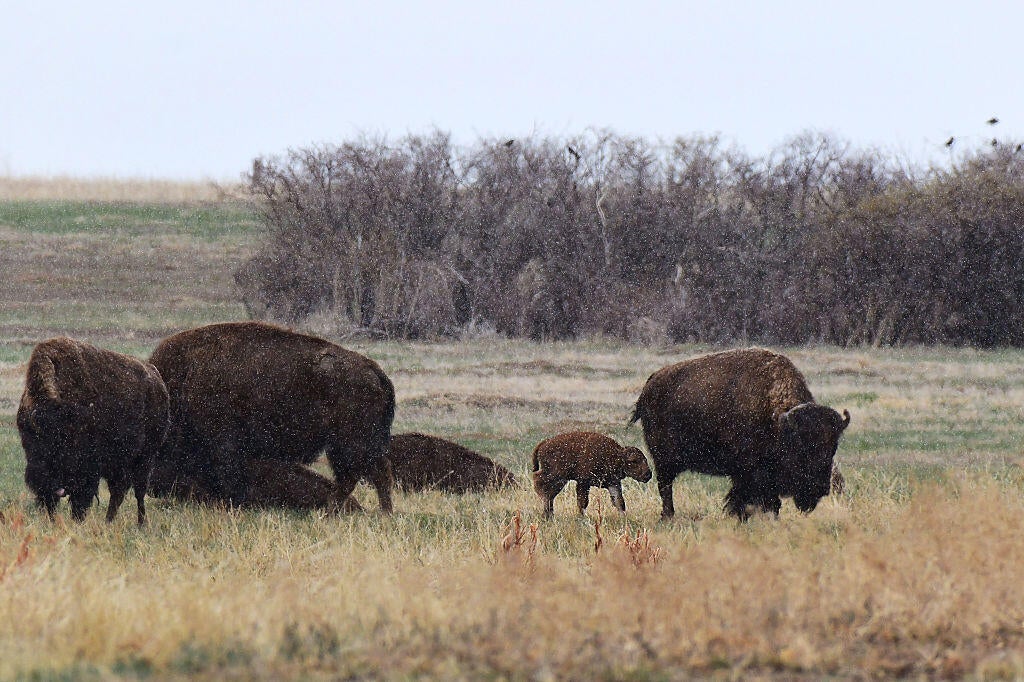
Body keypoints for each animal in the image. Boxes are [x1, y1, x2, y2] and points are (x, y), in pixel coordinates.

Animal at [17, 337, 169, 524]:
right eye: (32, 439)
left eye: (65, 439)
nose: (59, 488)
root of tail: (158, 381)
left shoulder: (87, 470)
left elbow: (81, 499)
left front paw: (77, 520)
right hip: (118, 465)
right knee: (118, 493)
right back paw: (108, 521)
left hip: (144, 458)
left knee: (138, 492)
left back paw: (140, 523)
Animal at [149, 321, 394, 512]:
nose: (151, 487)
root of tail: (373, 370)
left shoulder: (225, 446)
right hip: (359, 444)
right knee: (376, 472)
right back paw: (381, 513)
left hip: (349, 443)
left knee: (356, 475)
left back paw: (332, 511)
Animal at [630, 348, 850, 520]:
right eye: (803, 449)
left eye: (833, 448)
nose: (820, 488)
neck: (779, 423)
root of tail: (650, 385)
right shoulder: (748, 473)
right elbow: (750, 499)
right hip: (664, 460)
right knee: (665, 487)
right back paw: (668, 516)